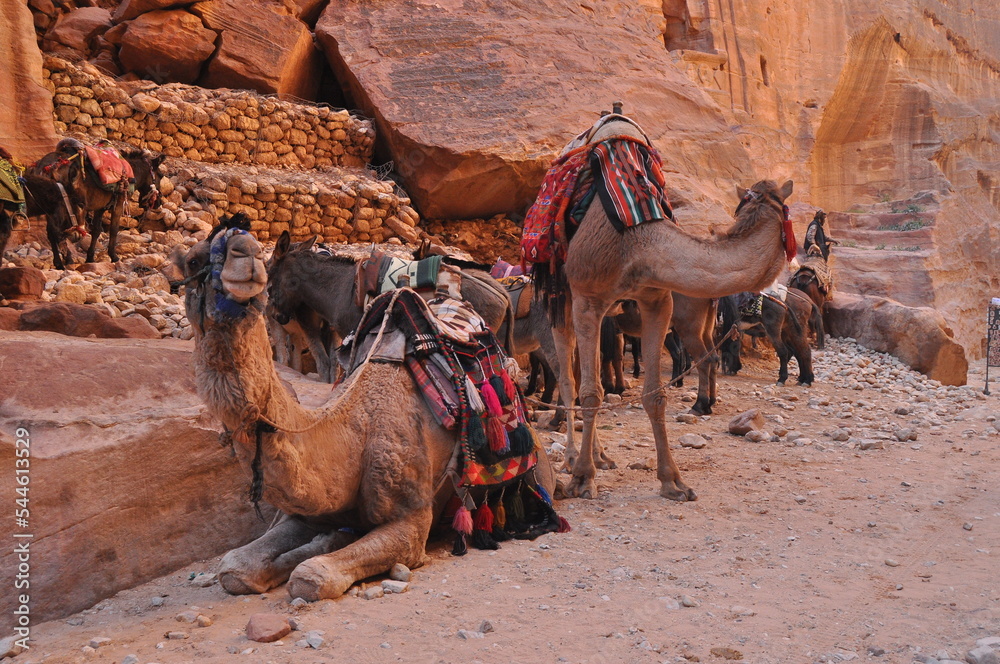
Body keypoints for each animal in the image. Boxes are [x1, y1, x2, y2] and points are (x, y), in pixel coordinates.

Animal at [176, 225, 557, 601]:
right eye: (193, 260)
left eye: (264, 259)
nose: (247, 253)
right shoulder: (307, 512)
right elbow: (234, 567)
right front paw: (320, 541)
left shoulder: (411, 523)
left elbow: (312, 576)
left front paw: (318, 554)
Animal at [551, 118, 794, 501]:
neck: (637, 242)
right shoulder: (588, 297)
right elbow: (590, 393)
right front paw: (582, 479)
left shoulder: (657, 301)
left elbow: (655, 394)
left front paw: (673, 482)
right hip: (561, 298)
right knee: (568, 378)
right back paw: (575, 459)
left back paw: (602, 455)